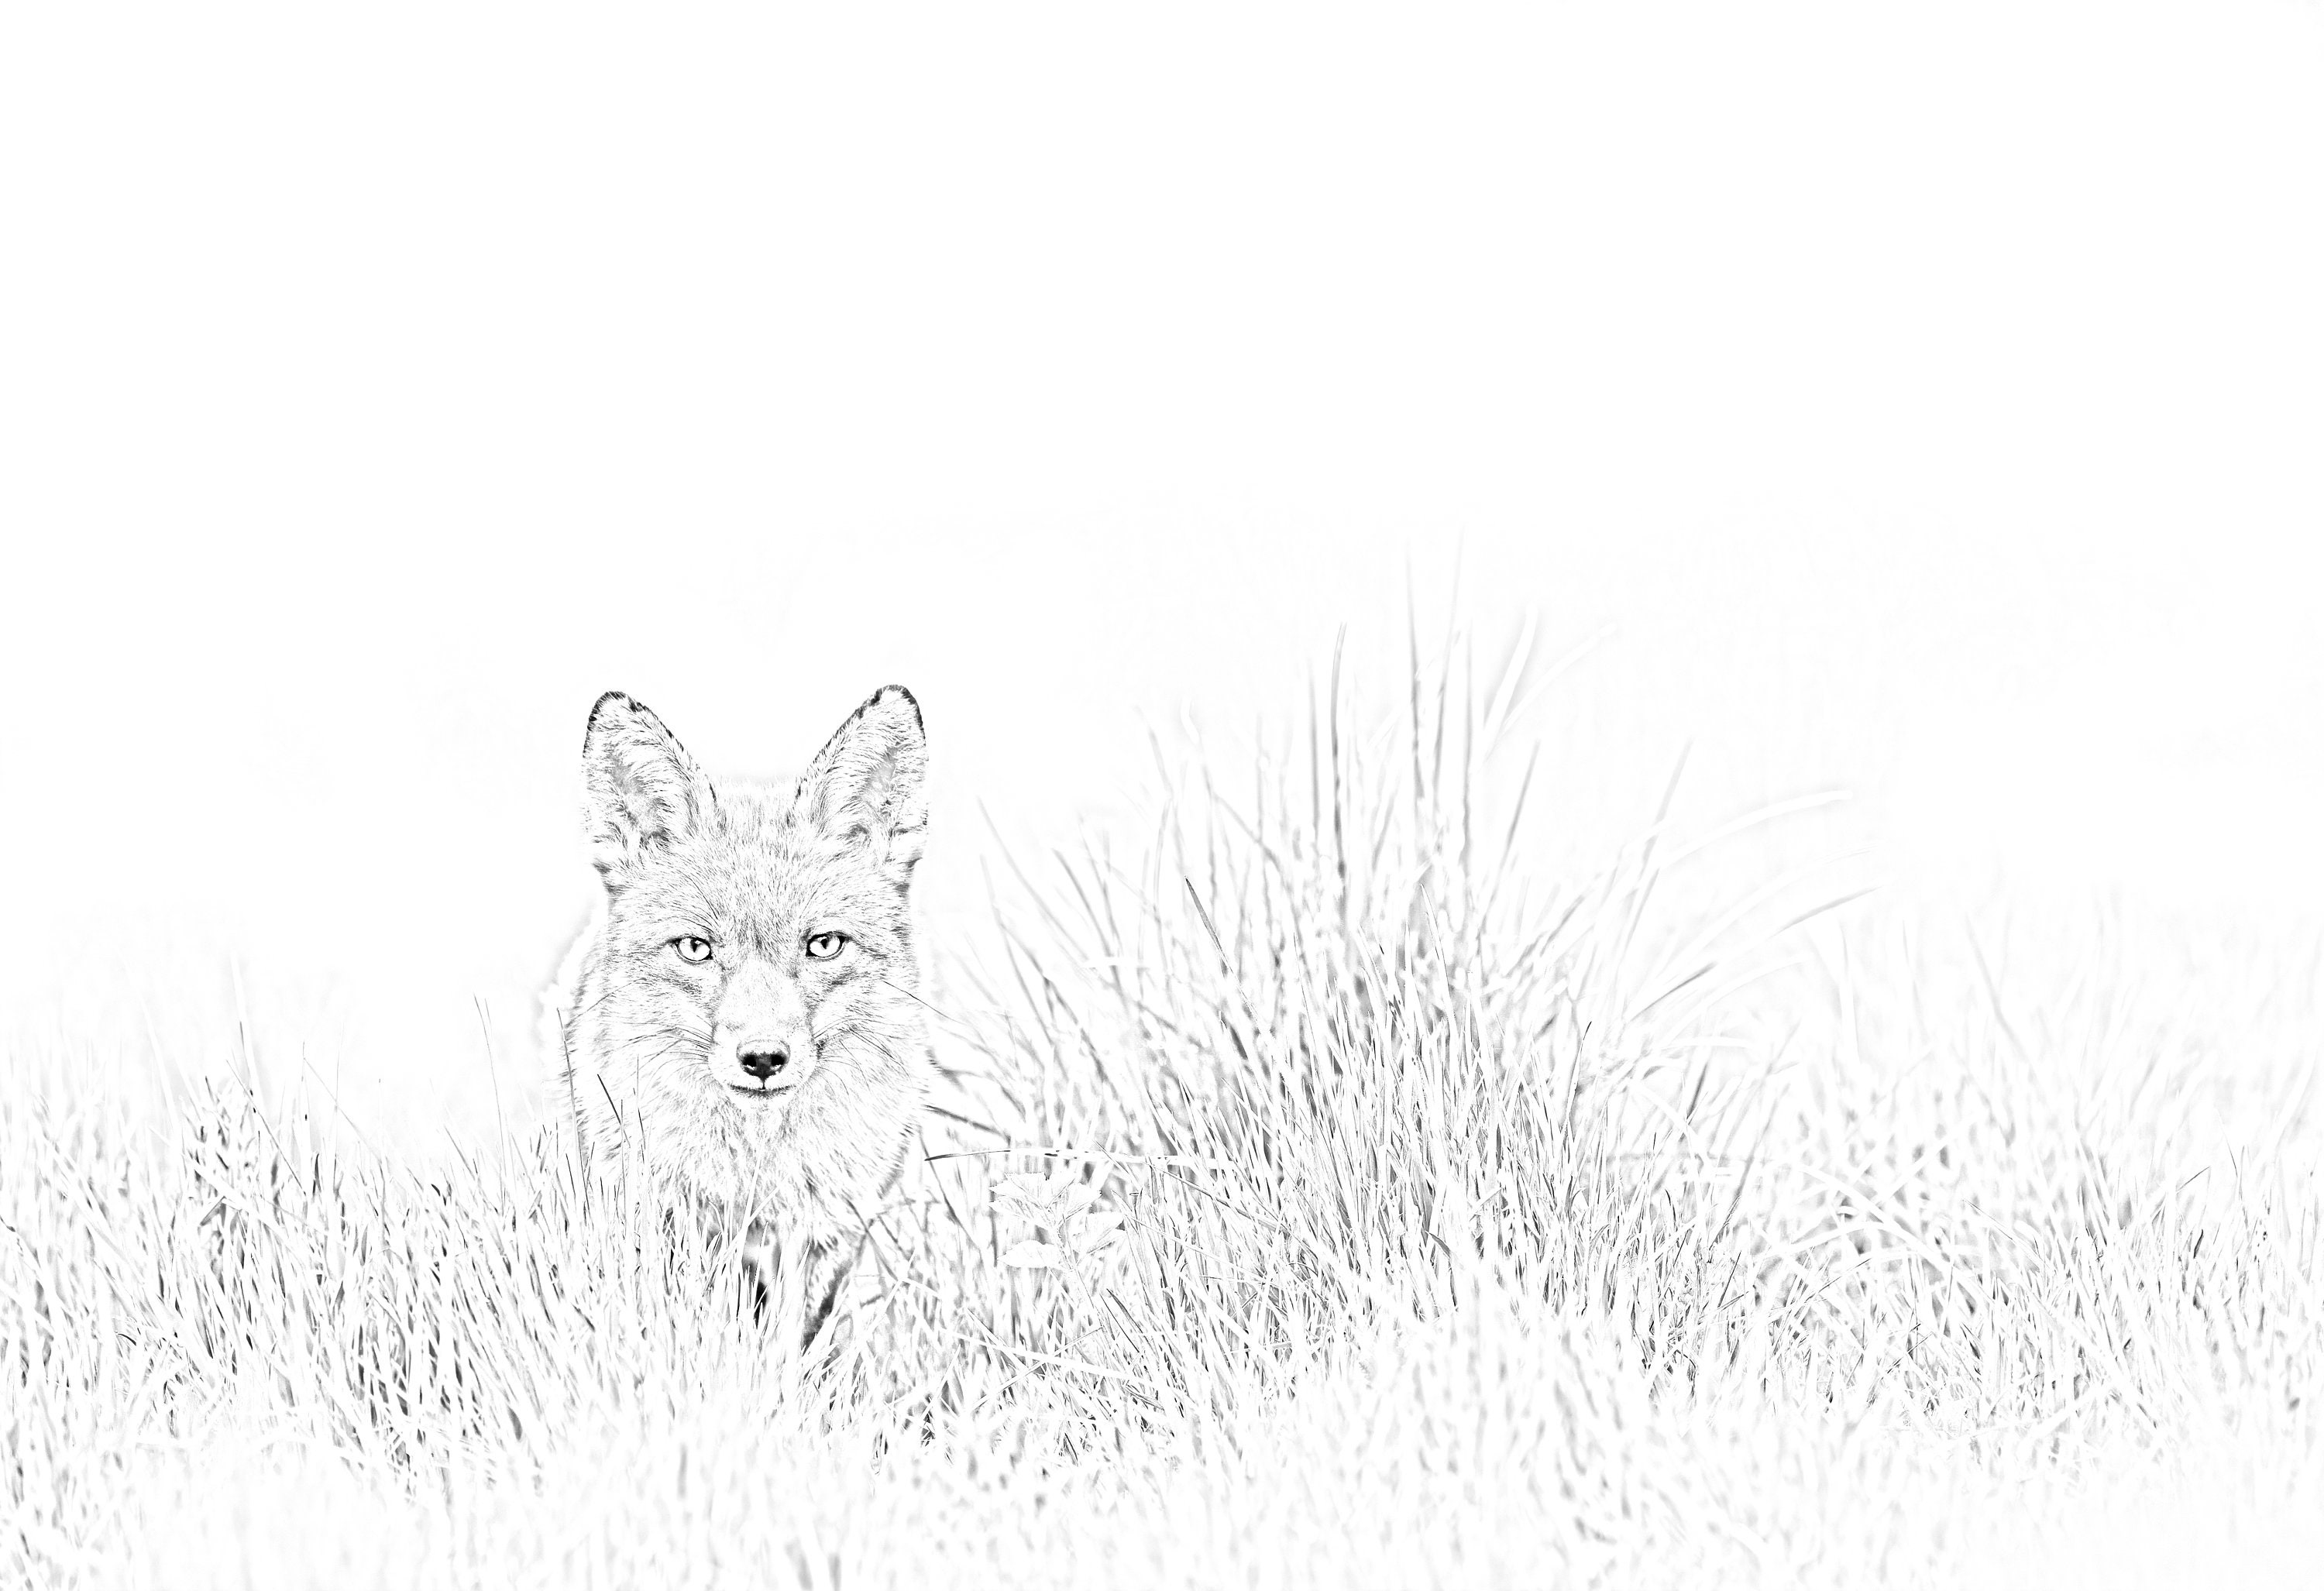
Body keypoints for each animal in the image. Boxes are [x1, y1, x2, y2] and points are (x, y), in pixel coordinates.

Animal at [548, 684, 933, 1337]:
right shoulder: (671, 1221)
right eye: (696, 949)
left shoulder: (822, 1232)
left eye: (823, 945)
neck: (758, 1164)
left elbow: (785, 1342)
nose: (763, 1059)